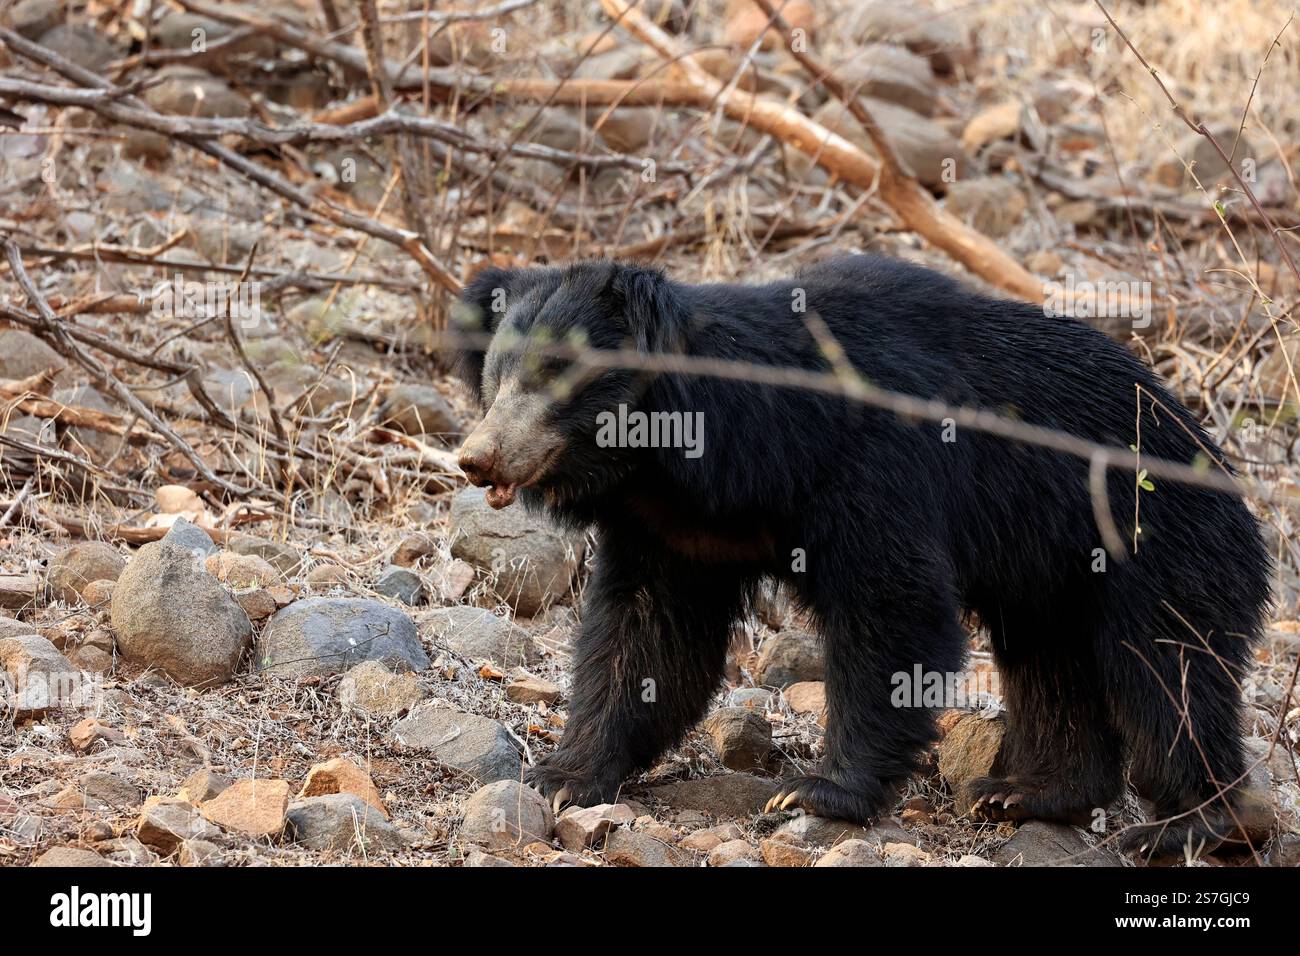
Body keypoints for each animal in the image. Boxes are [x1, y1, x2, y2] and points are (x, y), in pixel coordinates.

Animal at [449, 255, 1270, 858]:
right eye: (496, 377)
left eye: (555, 375)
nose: (475, 458)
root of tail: (1227, 475)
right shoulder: (677, 529)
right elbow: (646, 635)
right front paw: (562, 776)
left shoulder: (872, 467)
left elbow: (891, 611)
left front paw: (816, 792)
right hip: (1053, 577)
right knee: (1051, 662)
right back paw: (1026, 792)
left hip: (1157, 543)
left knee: (1169, 672)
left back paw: (1188, 826)